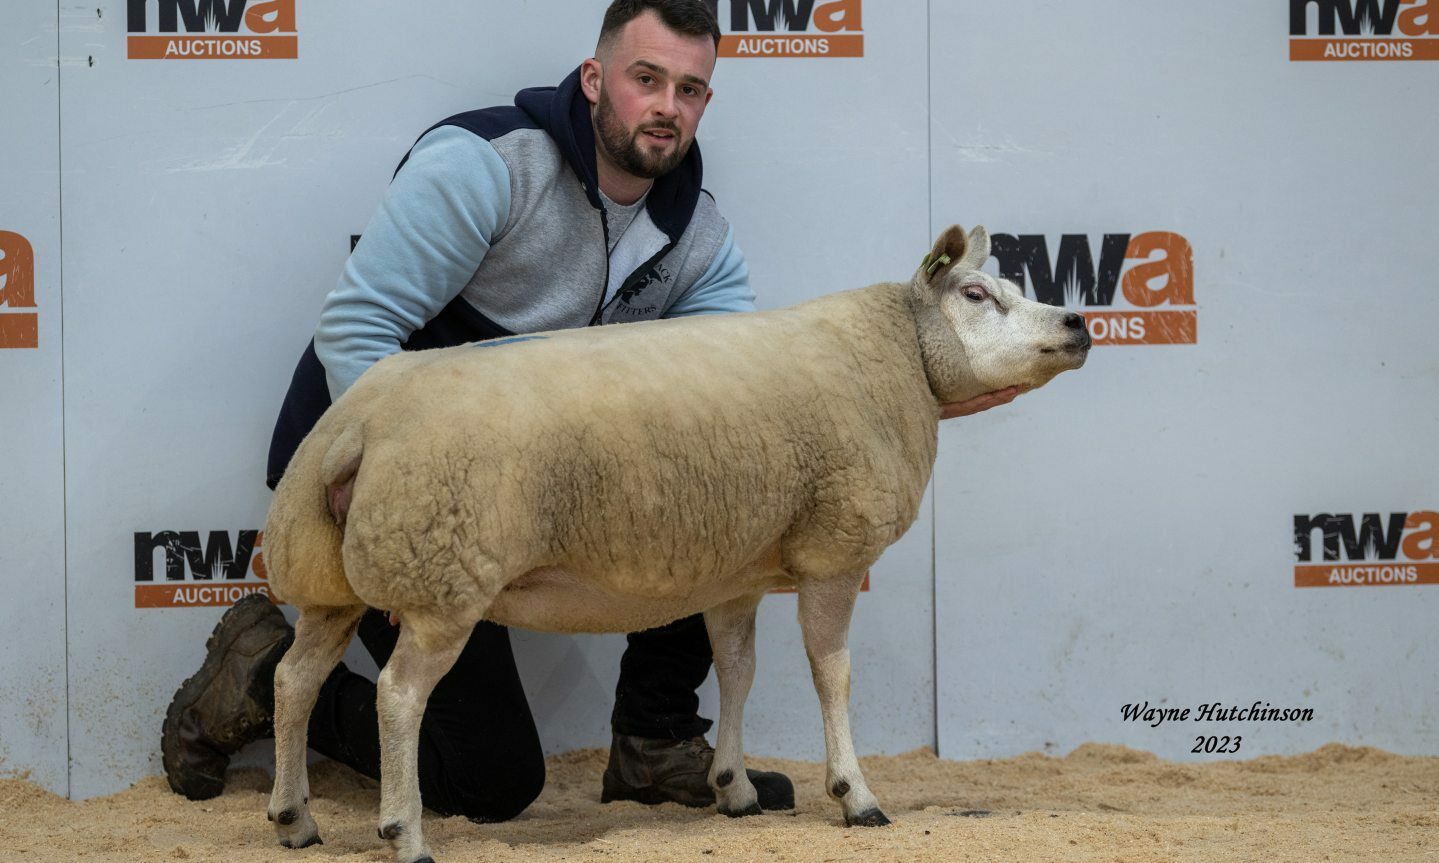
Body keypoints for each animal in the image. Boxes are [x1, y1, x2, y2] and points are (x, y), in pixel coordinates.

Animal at [261, 224, 1090, 863]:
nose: (1077, 325)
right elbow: (832, 674)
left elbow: (737, 670)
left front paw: (734, 787)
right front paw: (854, 794)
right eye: (976, 296)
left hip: (329, 578)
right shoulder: (833, 548)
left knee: (293, 679)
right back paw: (404, 832)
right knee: (399, 697)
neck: (897, 358)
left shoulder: (738, 570)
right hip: (440, 577)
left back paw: (292, 815)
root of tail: (355, 425)